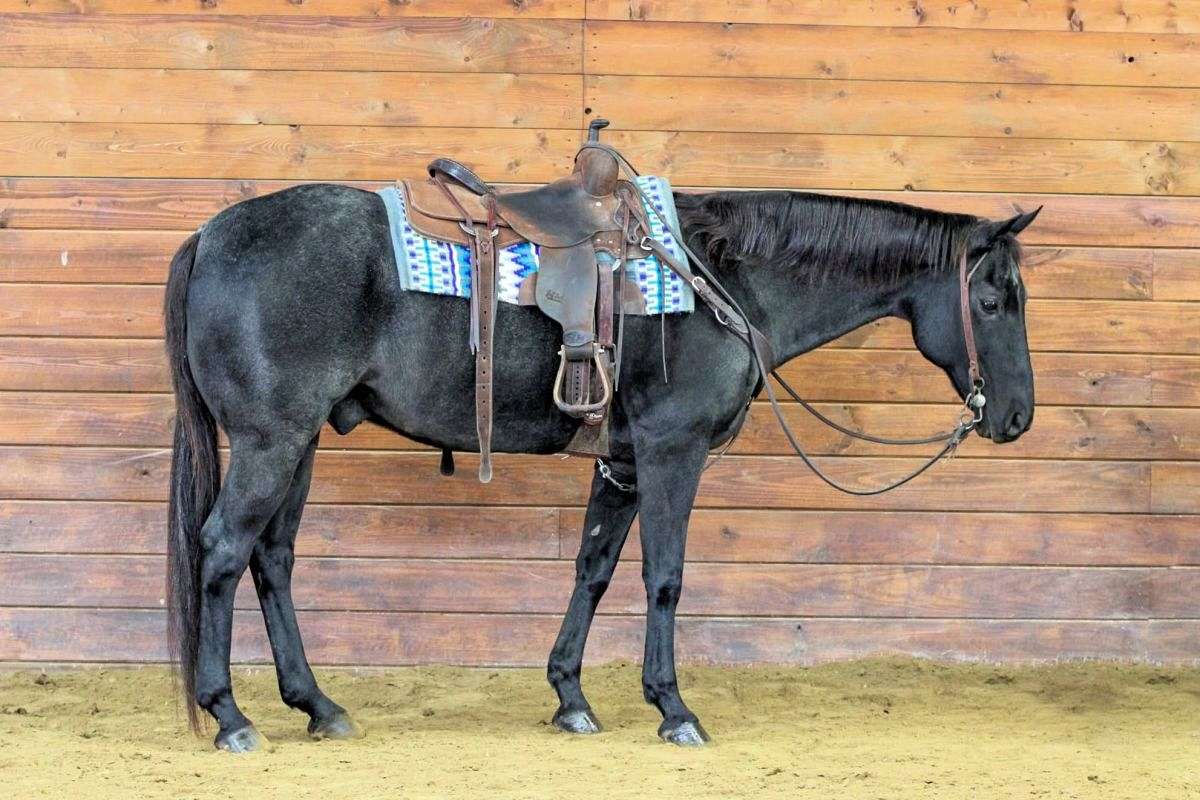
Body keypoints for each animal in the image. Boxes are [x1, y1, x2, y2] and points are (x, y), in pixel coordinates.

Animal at [163, 178, 1038, 751]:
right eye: (993, 301)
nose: (1017, 417)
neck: (724, 277)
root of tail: (209, 234)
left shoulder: (620, 463)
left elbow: (593, 569)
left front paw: (571, 697)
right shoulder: (672, 448)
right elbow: (664, 577)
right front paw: (673, 708)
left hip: (300, 440)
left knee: (273, 559)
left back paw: (318, 705)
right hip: (272, 439)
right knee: (223, 551)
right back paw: (230, 716)